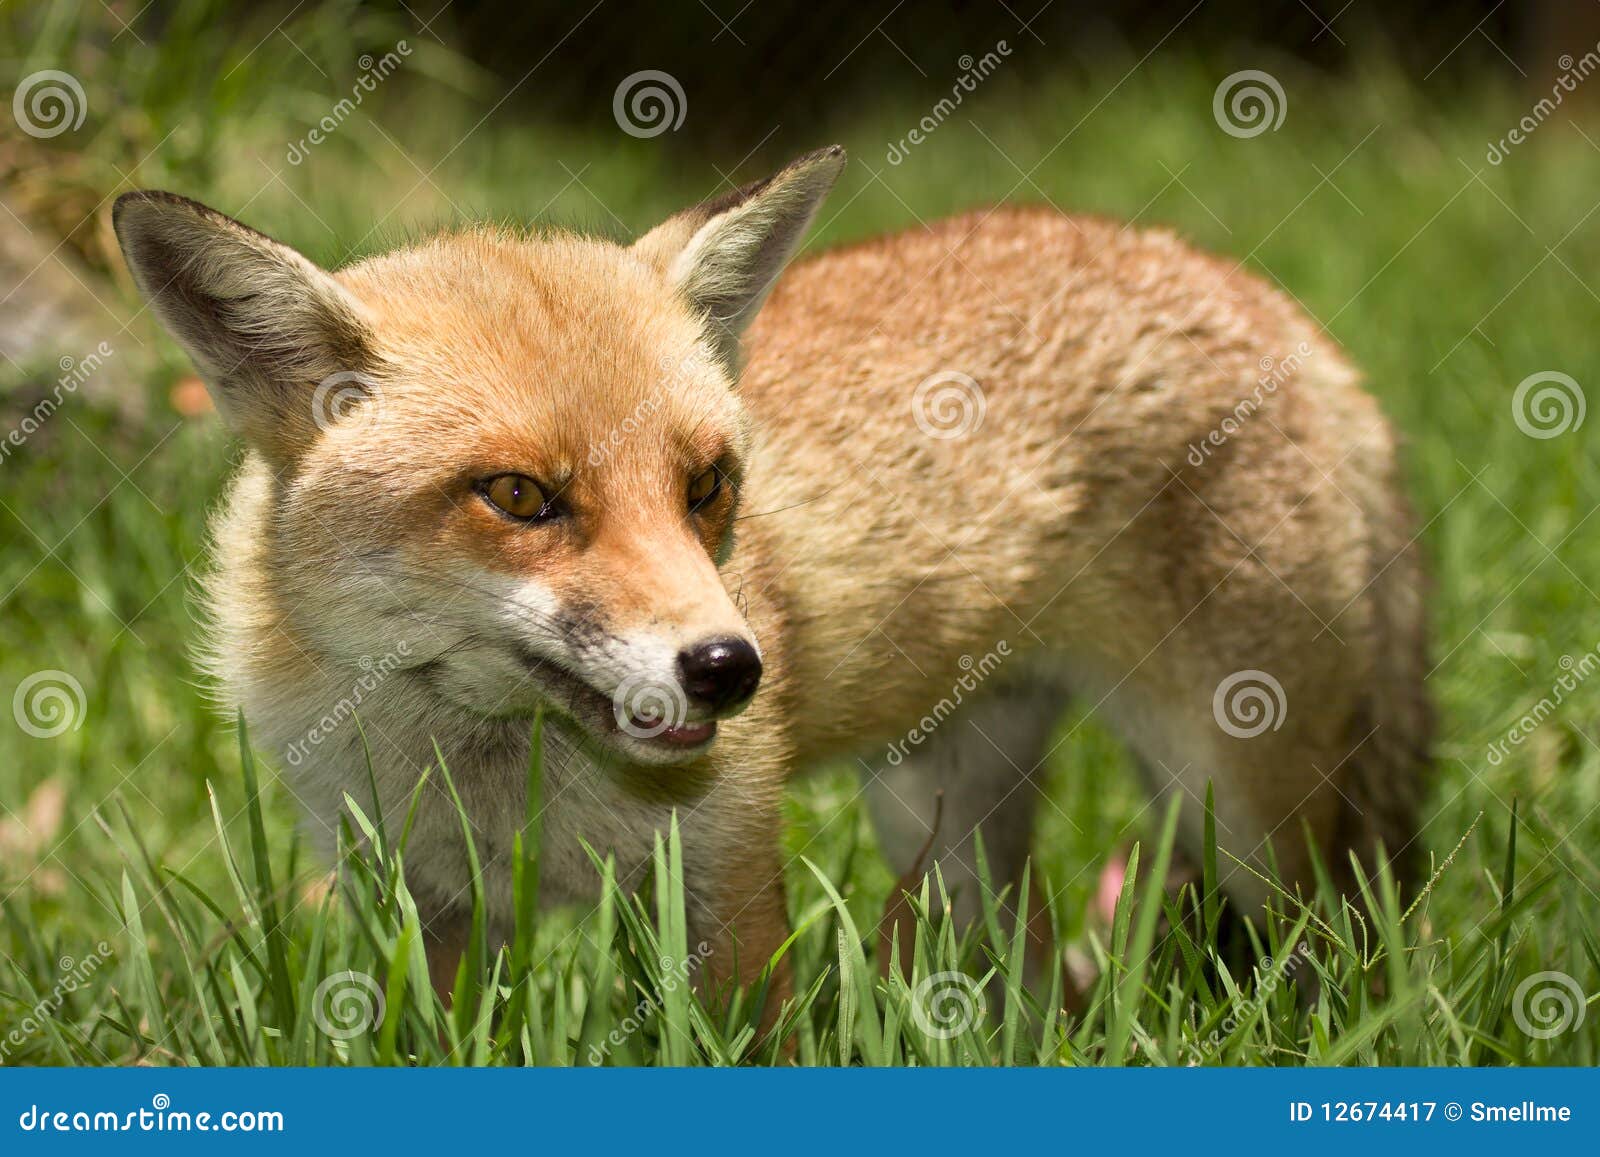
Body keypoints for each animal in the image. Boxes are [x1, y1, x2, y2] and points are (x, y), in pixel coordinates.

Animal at [113, 144, 1430, 1015]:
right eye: (521, 496)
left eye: (706, 484)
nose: (729, 668)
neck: (499, 768)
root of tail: (1268, 301)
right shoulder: (419, 907)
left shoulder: (727, 885)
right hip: (944, 820)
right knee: (1038, 976)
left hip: (1239, 806)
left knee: (1343, 953)